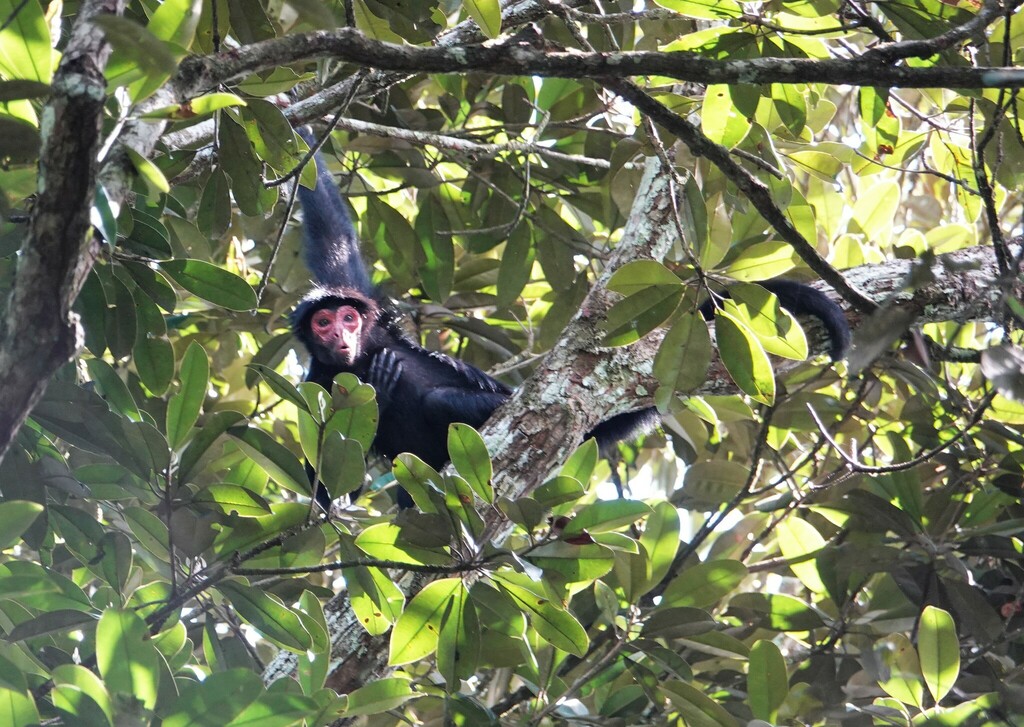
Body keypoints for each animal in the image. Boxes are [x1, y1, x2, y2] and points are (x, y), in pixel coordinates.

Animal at [290, 132, 850, 510]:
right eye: (323, 325)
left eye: (347, 318)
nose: (340, 334)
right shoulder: (317, 380)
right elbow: (326, 489)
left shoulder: (368, 304)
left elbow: (333, 233)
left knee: (442, 400)